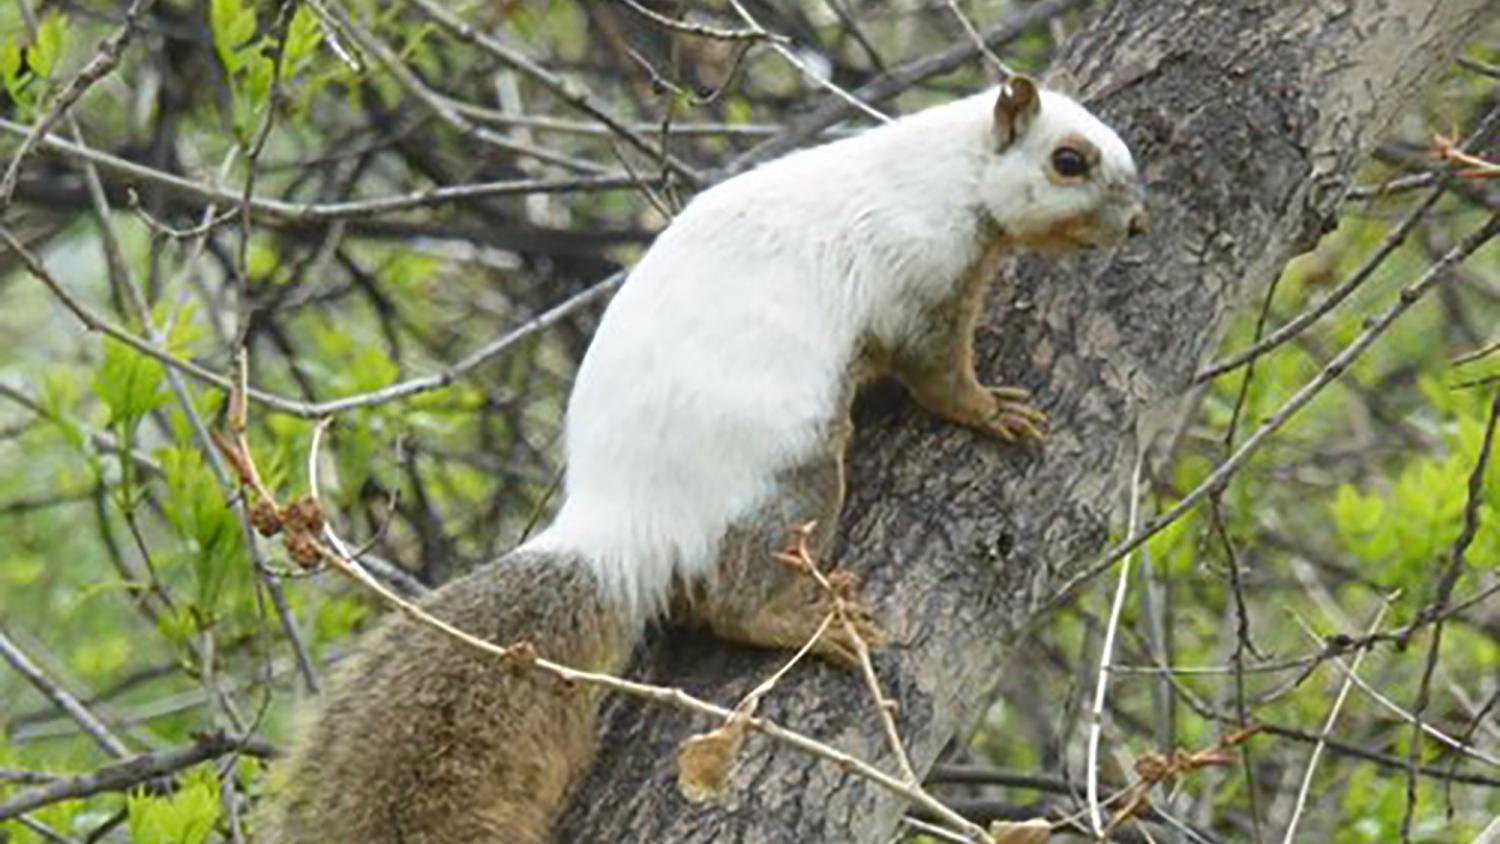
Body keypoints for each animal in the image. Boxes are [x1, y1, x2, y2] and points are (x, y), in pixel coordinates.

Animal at [260, 75, 1146, 844]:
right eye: (1069, 161)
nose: (1138, 225)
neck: (947, 174)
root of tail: (617, 523)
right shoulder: (920, 284)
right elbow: (936, 374)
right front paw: (990, 410)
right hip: (794, 472)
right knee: (731, 598)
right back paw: (801, 621)